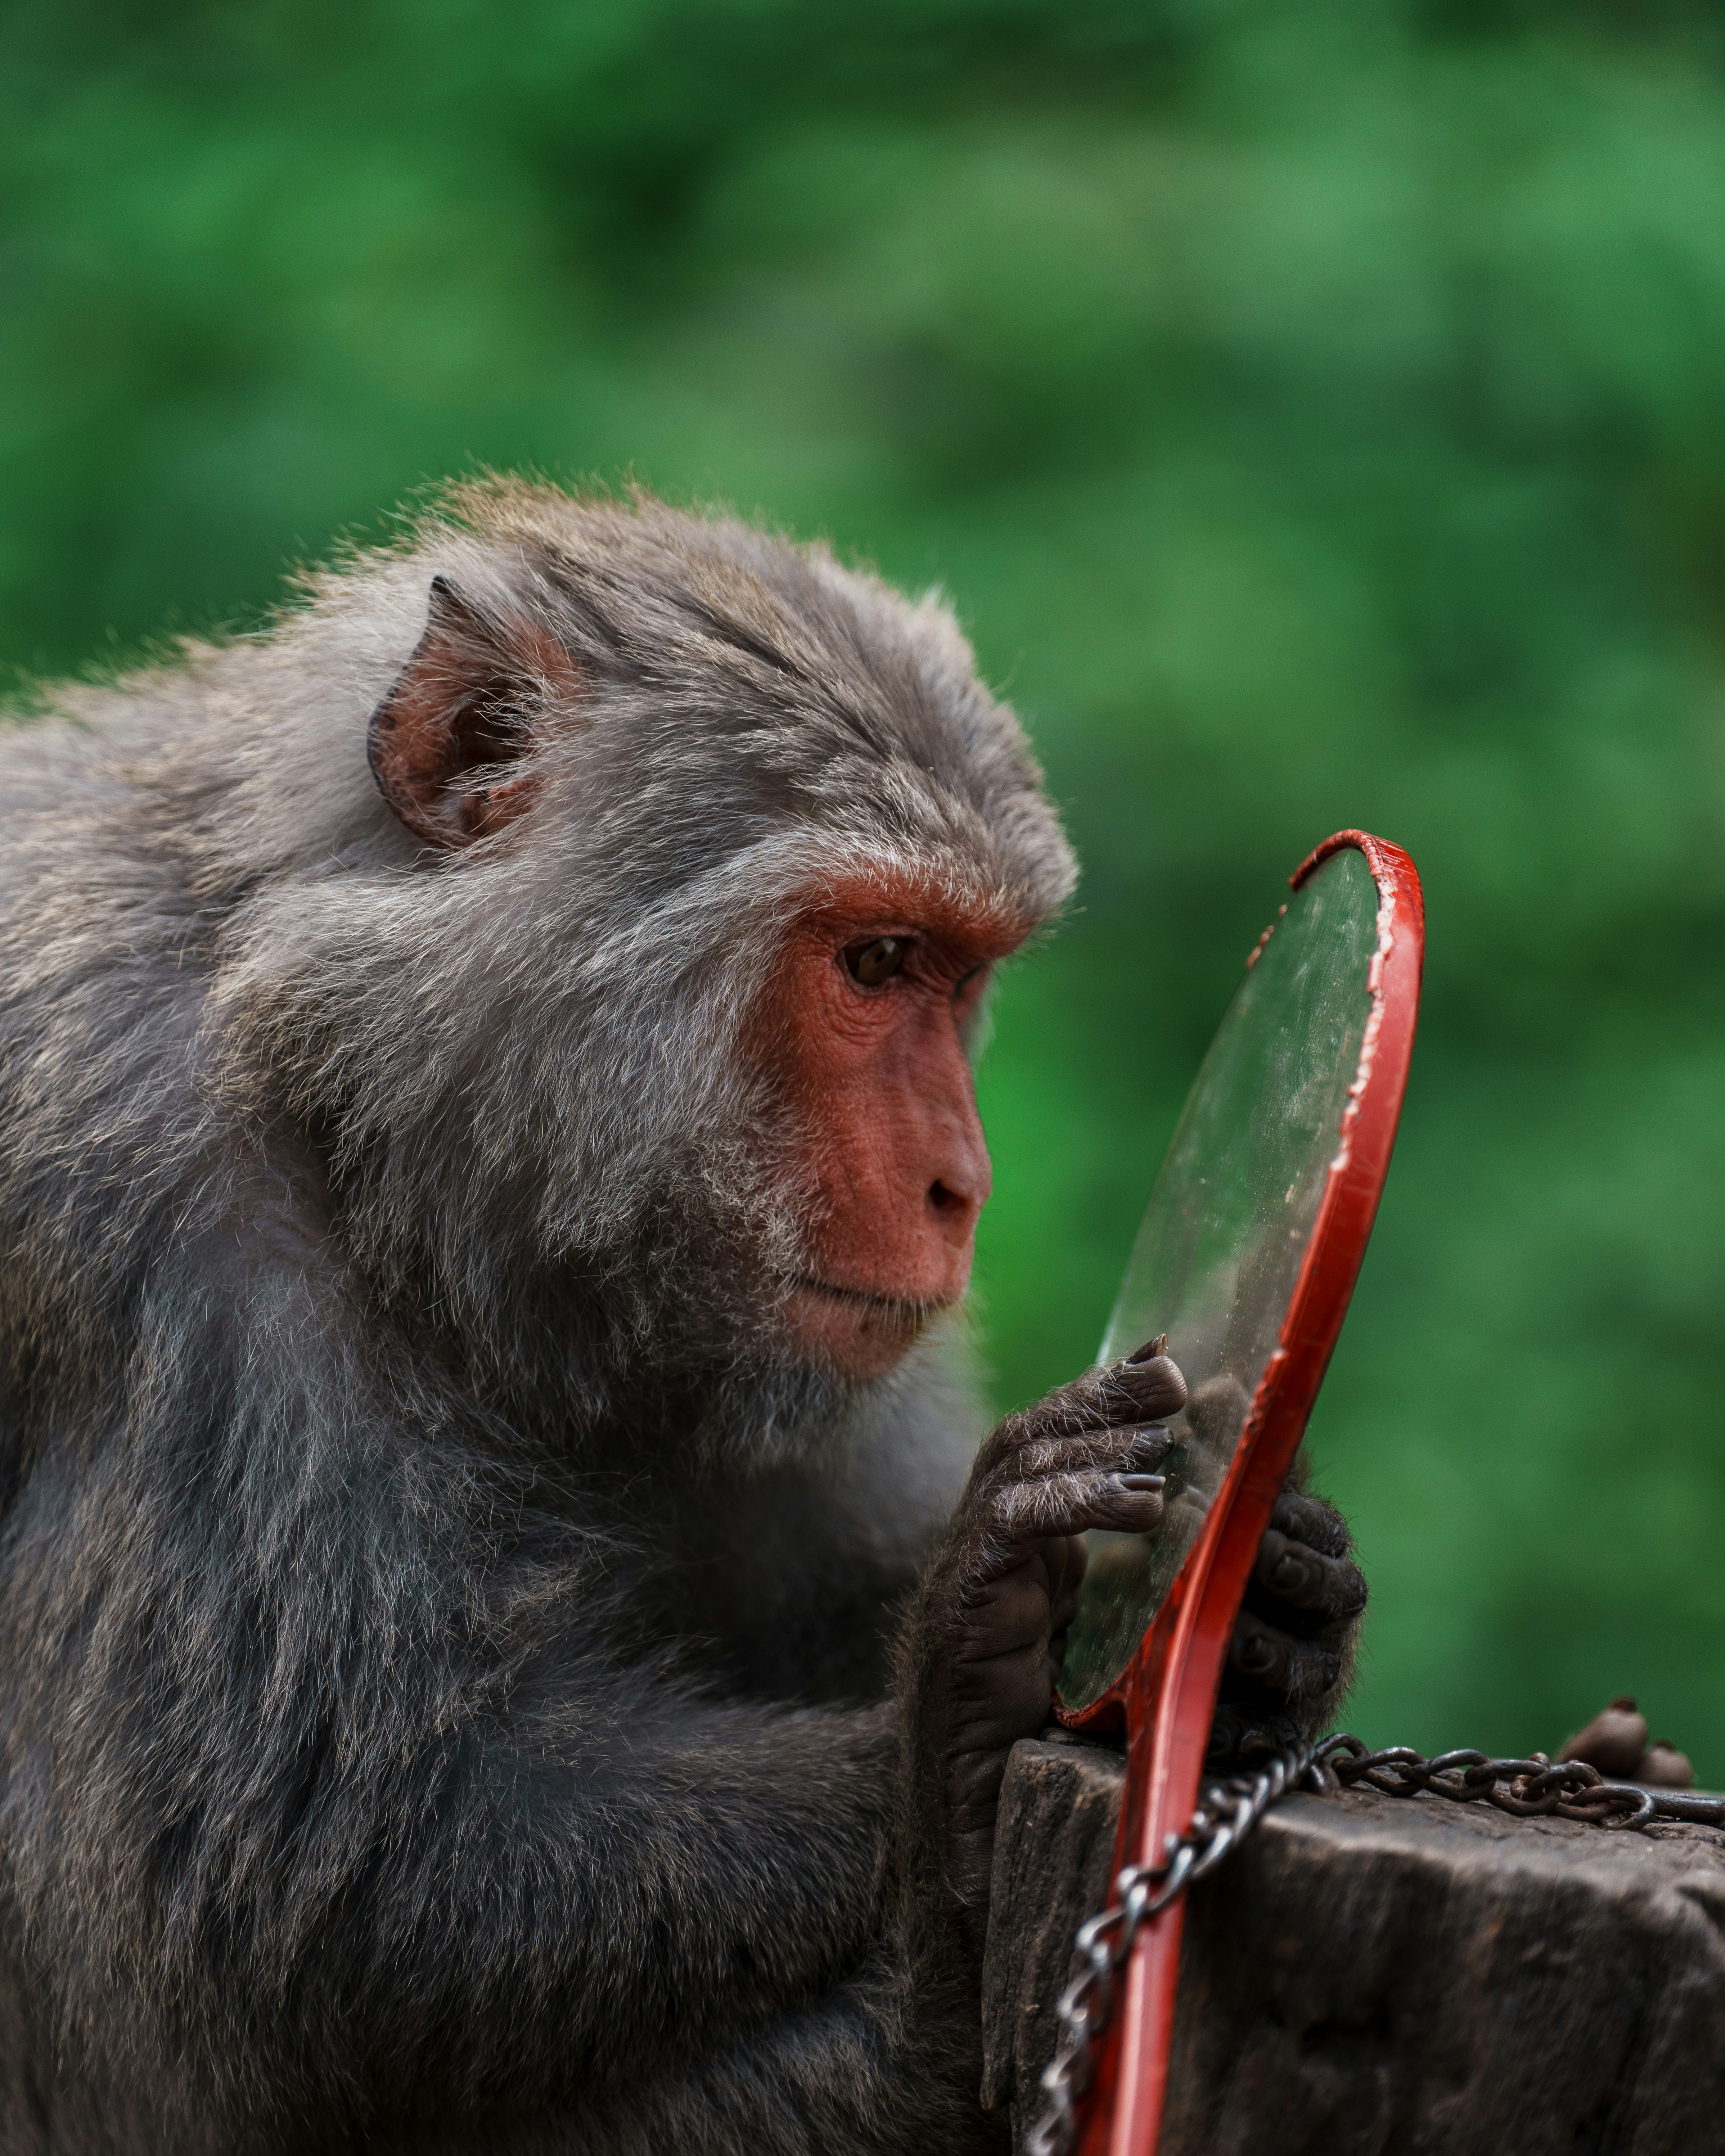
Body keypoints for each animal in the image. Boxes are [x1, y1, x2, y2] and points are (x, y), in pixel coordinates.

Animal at [0, 481, 1366, 2153]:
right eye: (876, 962)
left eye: (956, 973)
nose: (960, 1183)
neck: (345, 1098)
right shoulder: (151, 1204)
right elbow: (328, 1883)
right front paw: (958, 1712)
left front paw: (1268, 1620)